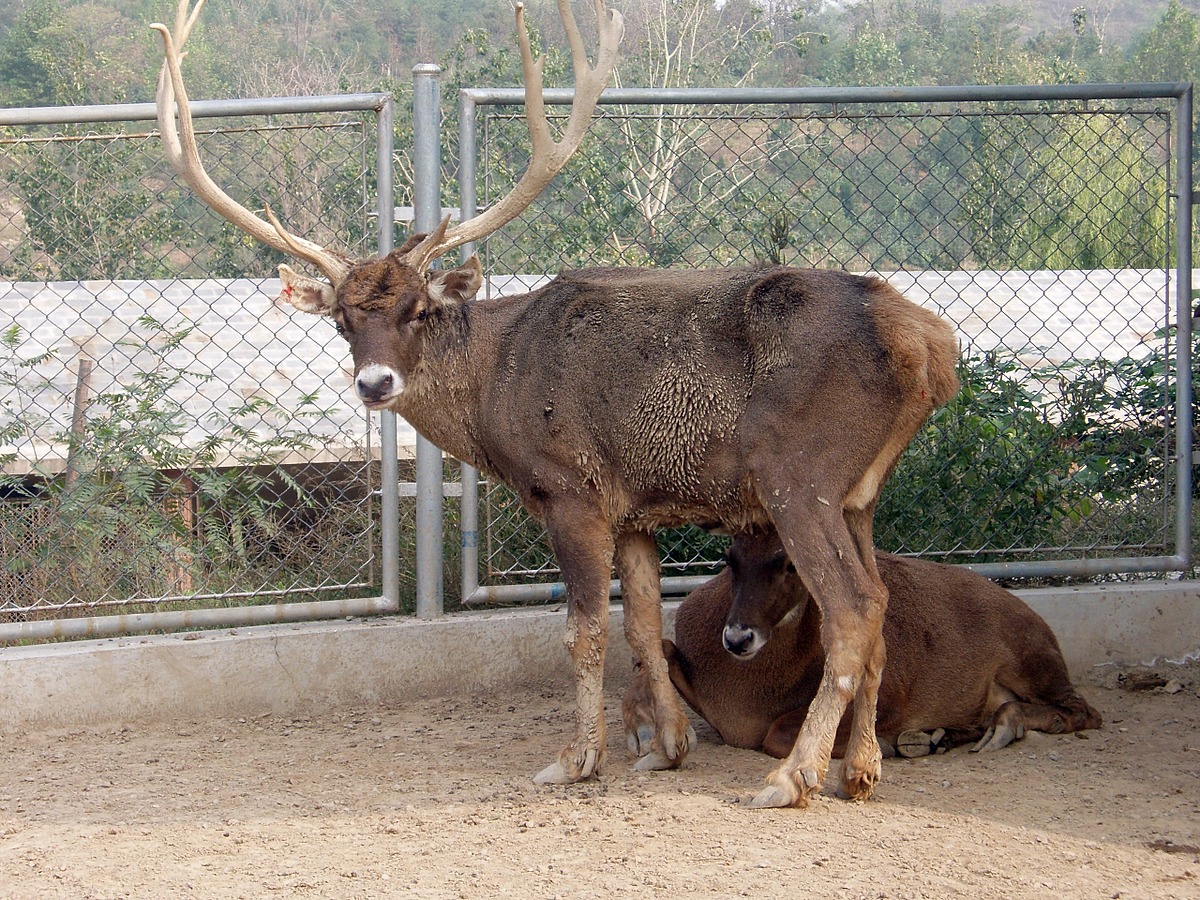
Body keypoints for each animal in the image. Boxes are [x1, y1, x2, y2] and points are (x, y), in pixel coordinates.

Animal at [152, 0, 960, 808]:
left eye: (418, 310)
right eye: (344, 320)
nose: (375, 384)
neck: (492, 392)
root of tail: (929, 344)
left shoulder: (571, 488)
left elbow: (583, 631)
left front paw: (578, 758)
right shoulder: (636, 508)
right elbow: (642, 624)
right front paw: (667, 747)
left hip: (799, 473)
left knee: (852, 608)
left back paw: (791, 776)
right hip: (859, 493)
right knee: (881, 604)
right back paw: (860, 770)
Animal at [624, 528, 1101, 765]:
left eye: (790, 563)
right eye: (729, 557)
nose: (739, 637)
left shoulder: (890, 693)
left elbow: (779, 734)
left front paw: (881, 745)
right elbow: (660, 648)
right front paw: (646, 733)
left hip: (1033, 661)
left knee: (1084, 710)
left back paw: (998, 726)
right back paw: (940, 736)